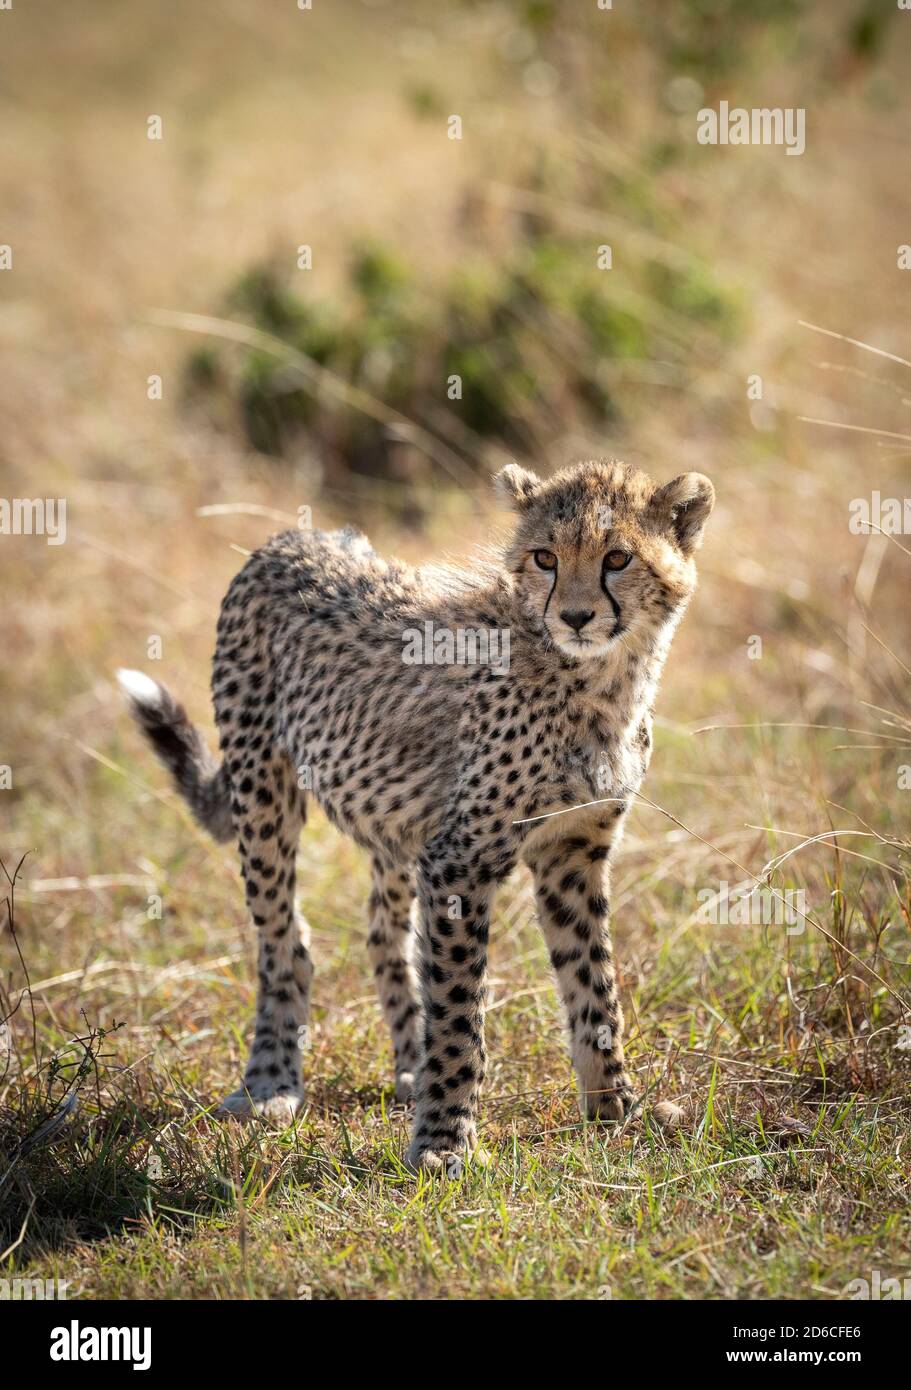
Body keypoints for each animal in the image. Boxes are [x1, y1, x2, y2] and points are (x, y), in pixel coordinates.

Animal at [117, 457, 714, 1171]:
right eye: (544, 557)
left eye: (617, 557)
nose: (574, 615)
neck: (602, 681)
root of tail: (293, 538)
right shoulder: (462, 860)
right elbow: (460, 1010)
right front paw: (444, 1142)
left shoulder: (572, 850)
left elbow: (594, 982)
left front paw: (616, 1110)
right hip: (264, 789)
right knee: (284, 940)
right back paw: (272, 1082)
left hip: (395, 817)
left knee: (382, 930)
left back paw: (408, 1066)